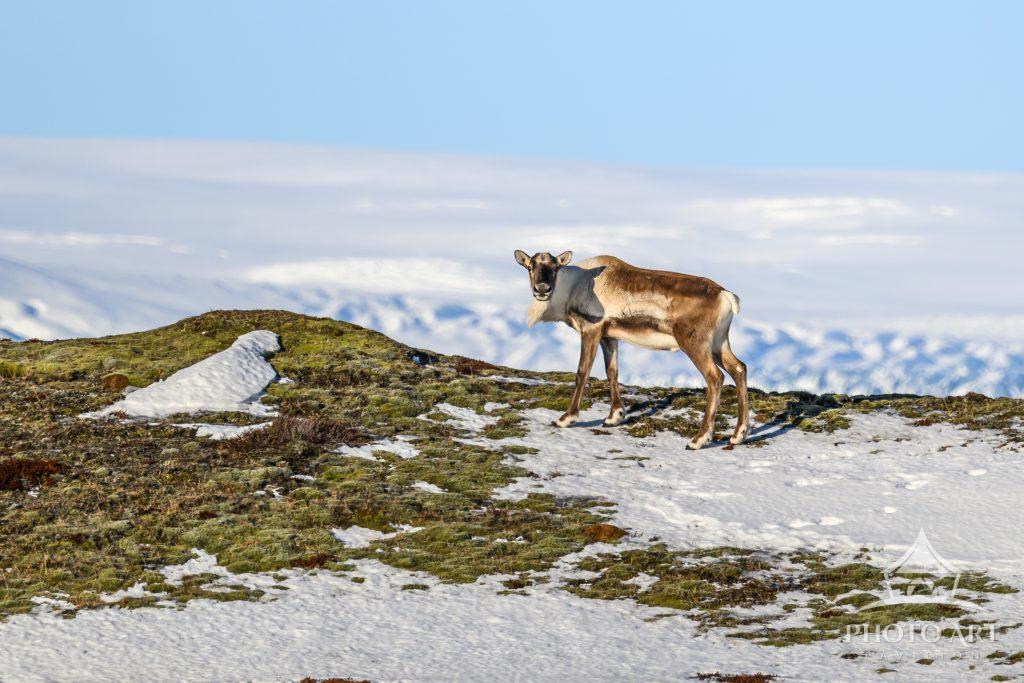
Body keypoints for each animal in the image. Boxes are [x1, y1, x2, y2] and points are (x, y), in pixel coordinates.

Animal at [513, 250, 749, 450]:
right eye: (530, 266)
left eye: (555, 267)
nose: (542, 289)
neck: (571, 288)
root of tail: (725, 297)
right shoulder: (609, 336)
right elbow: (612, 371)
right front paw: (614, 417)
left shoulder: (591, 329)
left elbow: (582, 372)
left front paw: (566, 418)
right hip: (719, 343)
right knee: (739, 368)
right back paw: (738, 435)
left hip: (694, 343)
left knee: (715, 377)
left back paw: (699, 440)